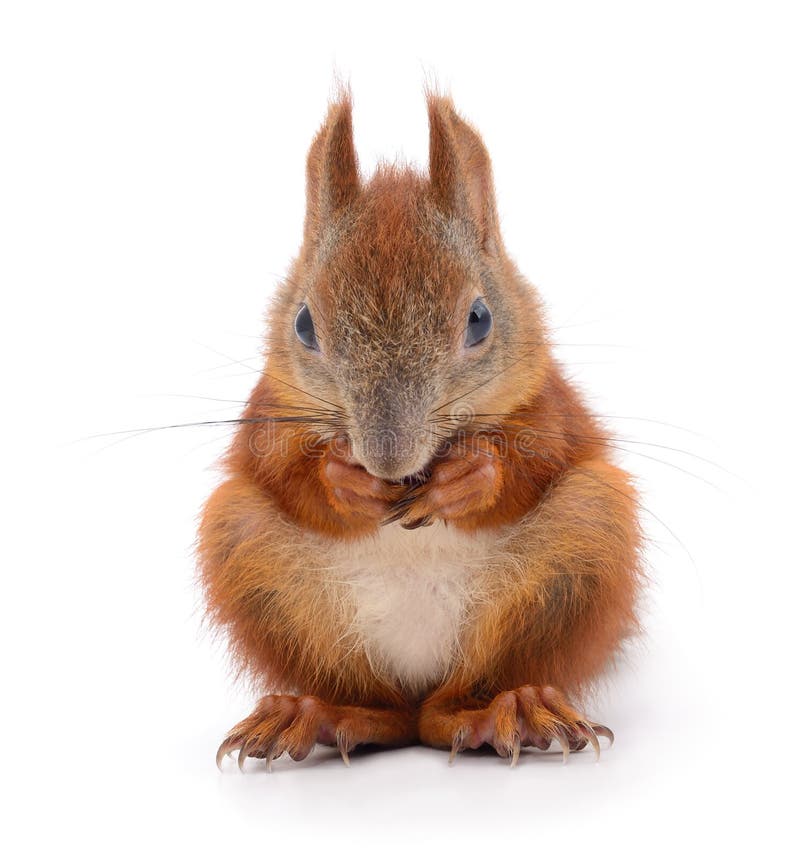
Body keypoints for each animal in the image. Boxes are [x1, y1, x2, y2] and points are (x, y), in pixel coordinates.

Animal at [200, 90, 642, 770]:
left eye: (480, 318)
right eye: (303, 324)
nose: (386, 458)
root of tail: (418, 687)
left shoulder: (554, 406)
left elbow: (541, 455)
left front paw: (472, 476)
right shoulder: (266, 412)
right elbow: (278, 469)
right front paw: (342, 480)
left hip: (583, 544)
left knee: (454, 706)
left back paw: (506, 710)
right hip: (252, 559)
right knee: (378, 706)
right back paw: (323, 714)